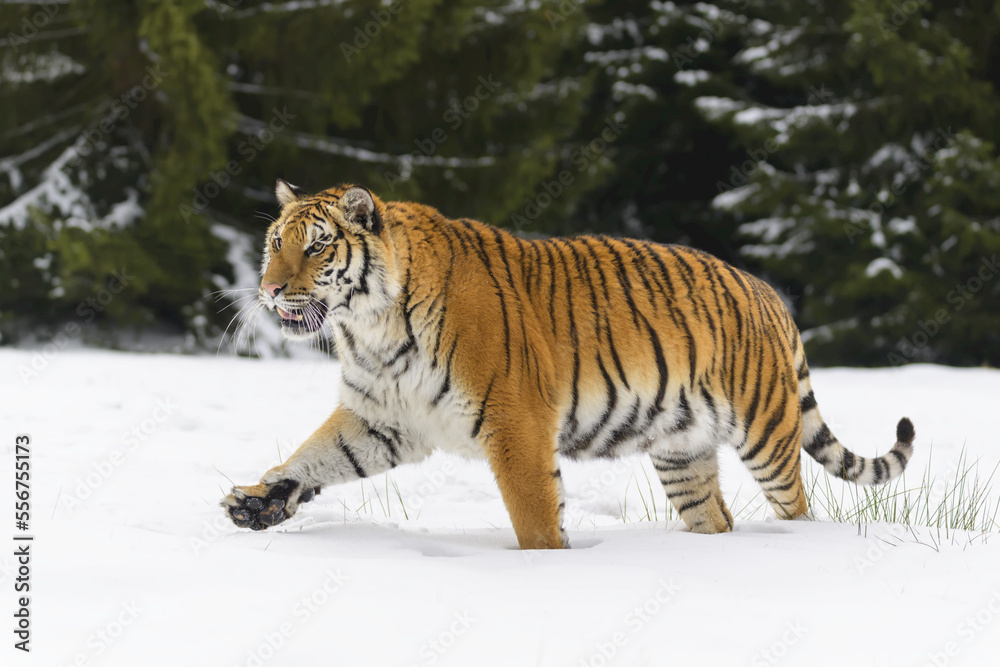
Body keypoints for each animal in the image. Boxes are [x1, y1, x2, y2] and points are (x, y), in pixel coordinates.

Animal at [221, 179, 915, 549]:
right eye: (275, 243)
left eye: (317, 248)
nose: (270, 289)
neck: (368, 327)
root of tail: (769, 293)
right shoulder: (381, 417)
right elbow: (312, 455)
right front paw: (259, 499)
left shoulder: (515, 421)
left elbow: (533, 512)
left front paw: (549, 564)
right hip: (684, 452)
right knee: (714, 517)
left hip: (767, 434)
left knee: (798, 506)